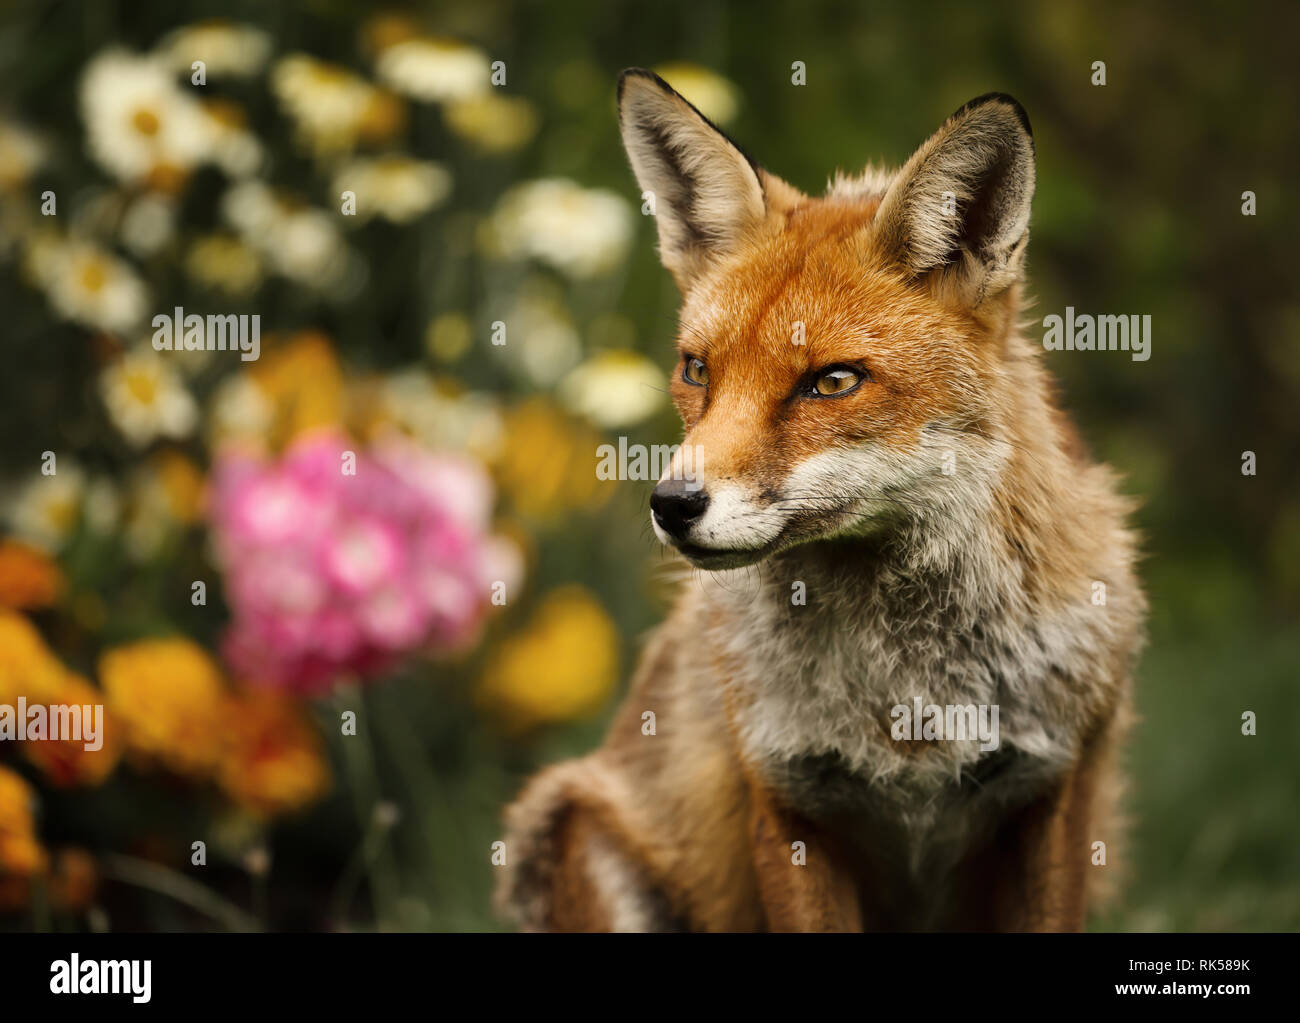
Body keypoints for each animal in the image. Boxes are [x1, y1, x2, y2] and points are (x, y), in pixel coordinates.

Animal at [495, 69, 1146, 932]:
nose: (672, 504)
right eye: (697, 370)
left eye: (832, 381)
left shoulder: (1054, 793)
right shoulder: (787, 803)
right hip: (570, 822)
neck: (908, 698)